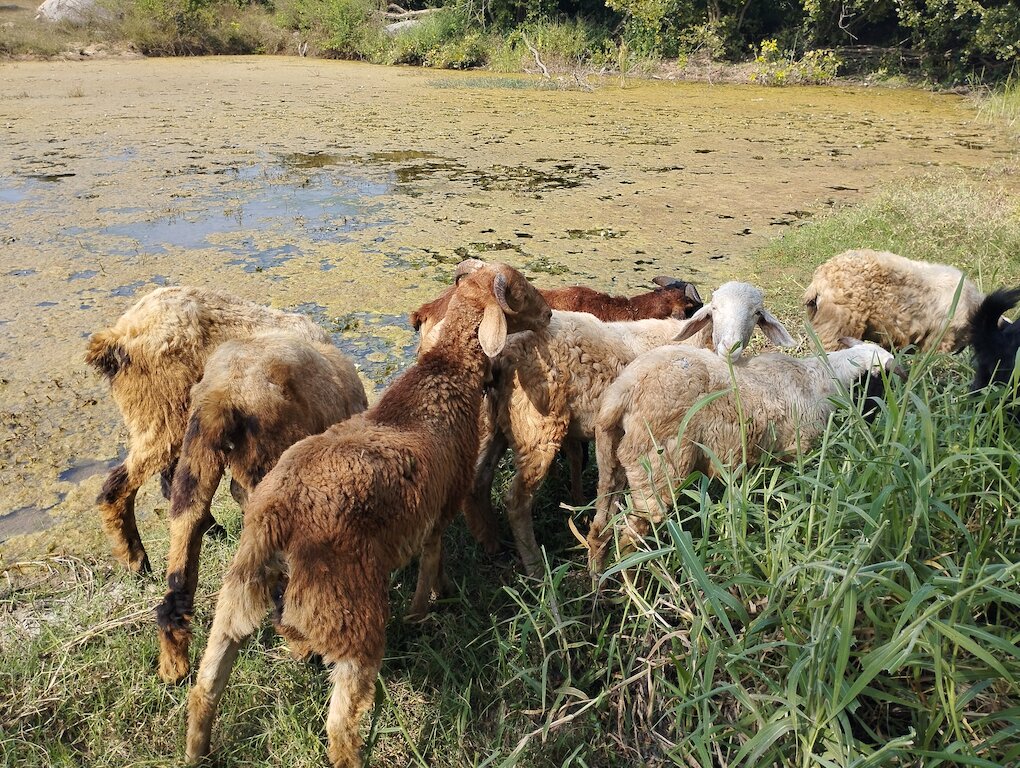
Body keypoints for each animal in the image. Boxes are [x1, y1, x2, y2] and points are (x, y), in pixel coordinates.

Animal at [85, 285, 330, 574]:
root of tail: (117, 337)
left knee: (172, 485)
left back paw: (213, 532)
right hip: (163, 417)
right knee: (117, 487)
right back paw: (138, 562)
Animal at [154, 331, 368, 684]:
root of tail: (222, 394)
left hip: (196, 459)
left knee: (183, 551)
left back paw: (174, 664)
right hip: (271, 464)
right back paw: (301, 644)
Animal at [184, 260, 551, 768]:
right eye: (517, 290)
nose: (551, 313)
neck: (444, 377)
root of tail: (278, 515)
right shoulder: (441, 508)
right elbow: (432, 561)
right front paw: (427, 608)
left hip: (237, 594)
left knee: (205, 688)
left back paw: (196, 751)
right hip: (351, 617)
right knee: (340, 728)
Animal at [469, 281, 795, 576]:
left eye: (756, 313)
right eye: (713, 310)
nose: (731, 348)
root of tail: (504, 351)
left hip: (496, 423)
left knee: (479, 479)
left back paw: (492, 543)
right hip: (537, 426)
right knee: (516, 501)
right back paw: (536, 567)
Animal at [586, 339, 898, 571]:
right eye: (884, 381)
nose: (884, 416)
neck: (823, 380)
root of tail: (625, 388)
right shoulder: (798, 452)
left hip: (611, 460)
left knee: (600, 529)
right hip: (659, 466)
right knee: (631, 535)